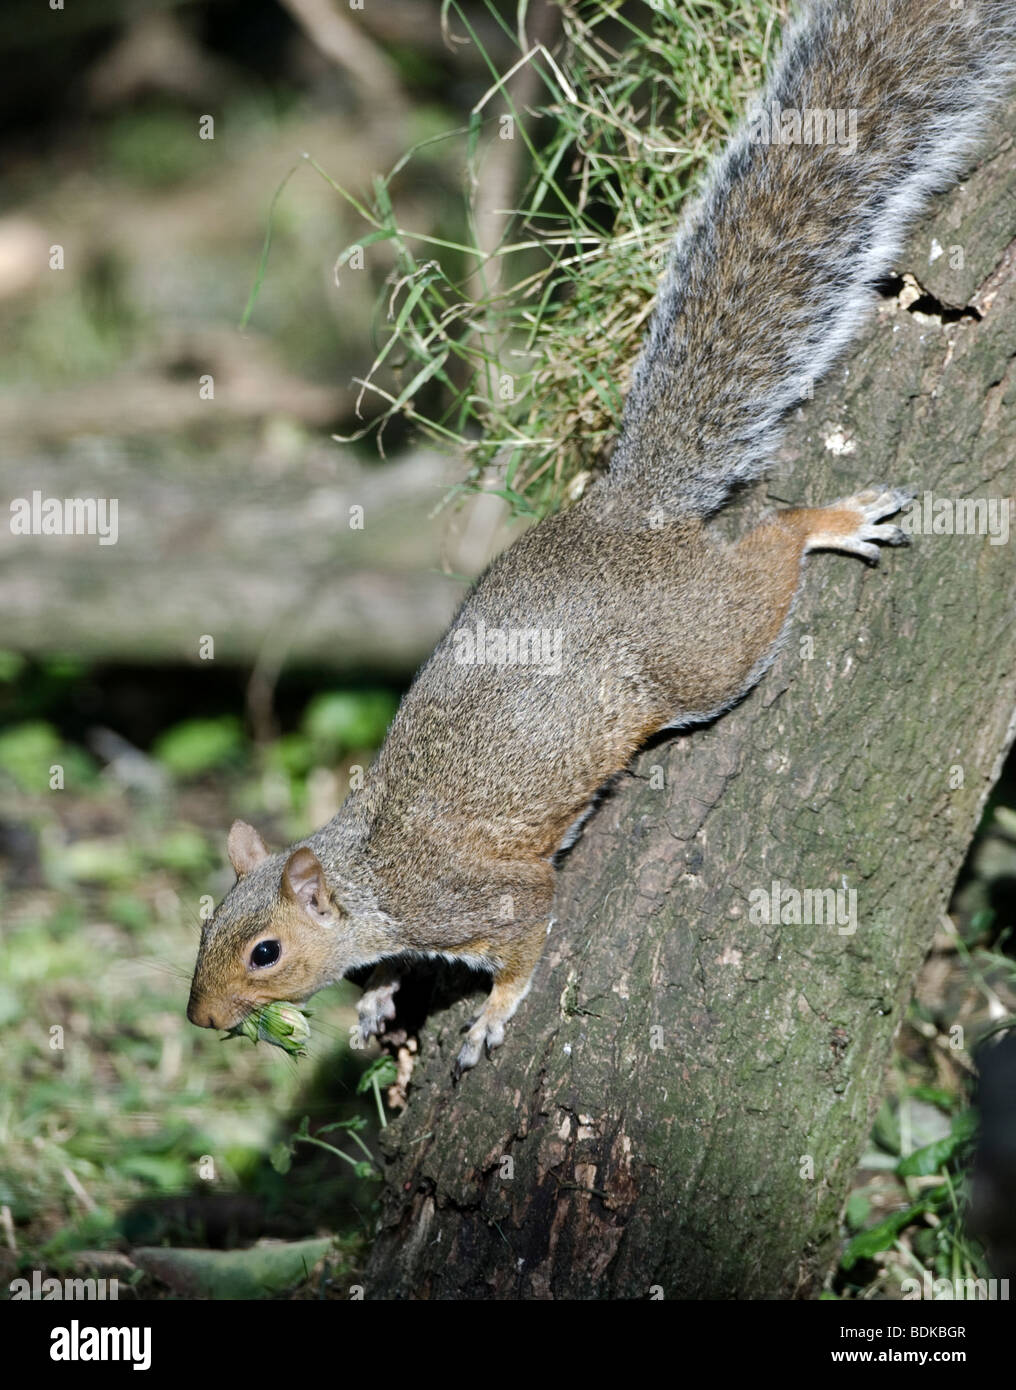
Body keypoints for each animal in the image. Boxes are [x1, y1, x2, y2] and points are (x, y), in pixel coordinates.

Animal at [188, 0, 1016, 1076]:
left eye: (266, 951)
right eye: (205, 930)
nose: (202, 1018)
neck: (369, 875)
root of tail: (629, 511)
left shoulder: (492, 895)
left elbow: (522, 939)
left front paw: (491, 1014)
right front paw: (375, 1002)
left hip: (704, 652)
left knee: (771, 547)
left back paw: (829, 524)